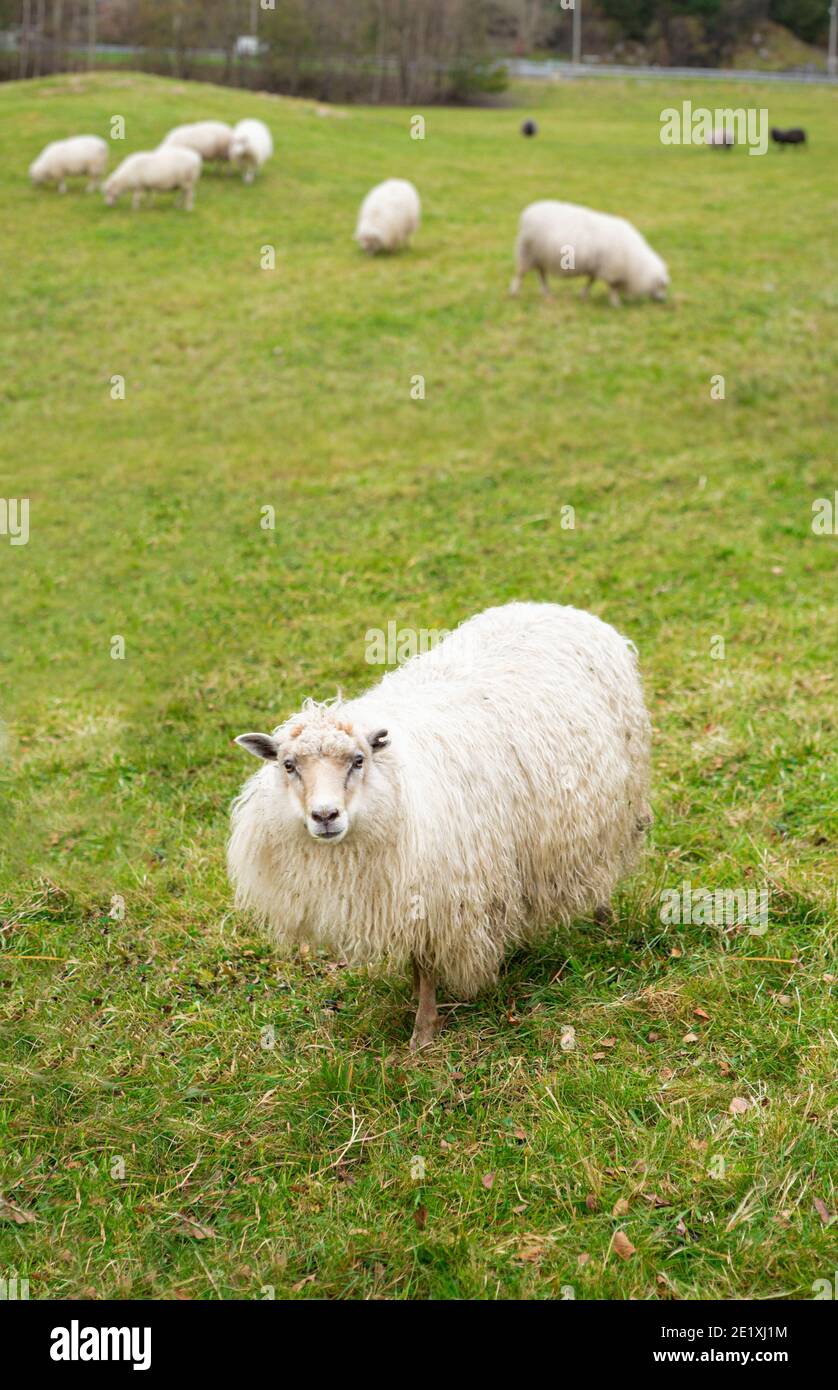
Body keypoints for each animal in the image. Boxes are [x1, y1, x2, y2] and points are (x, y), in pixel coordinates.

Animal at [228, 601, 652, 1050]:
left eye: (358, 760)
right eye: (288, 765)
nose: (325, 816)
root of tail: (556, 607)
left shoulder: (439, 890)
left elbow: (428, 962)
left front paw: (424, 1031)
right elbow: (417, 962)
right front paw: (418, 1002)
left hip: (615, 803)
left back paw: (603, 918)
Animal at [509, 199, 669, 307]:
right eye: (661, 286)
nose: (663, 300)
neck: (637, 265)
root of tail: (528, 212)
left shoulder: (597, 267)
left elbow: (591, 281)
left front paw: (584, 295)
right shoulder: (612, 270)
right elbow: (613, 288)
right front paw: (616, 303)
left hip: (540, 256)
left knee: (542, 275)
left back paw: (547, 293)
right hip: (526, 253)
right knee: (520, 274)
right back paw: (514, 292)